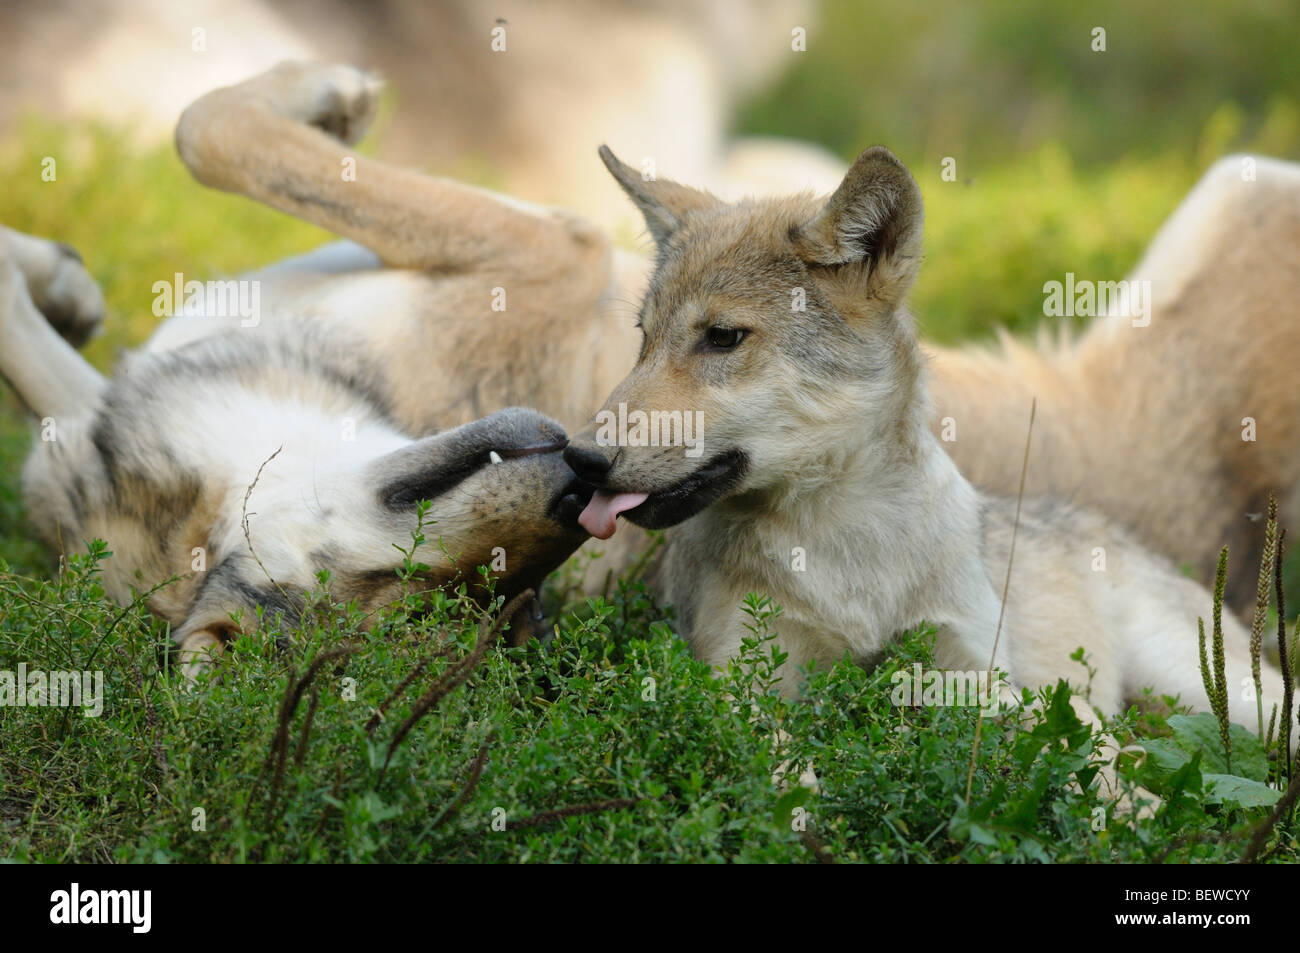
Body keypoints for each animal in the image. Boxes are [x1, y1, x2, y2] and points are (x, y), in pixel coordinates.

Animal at [563, 145, 1293, 759]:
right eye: (644, 340)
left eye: (721, 338)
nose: (580, 459)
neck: (845, 544)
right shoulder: (735, 681)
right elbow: (788, 771)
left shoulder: (986, 675)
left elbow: (1097, 760)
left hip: (1216, 690)